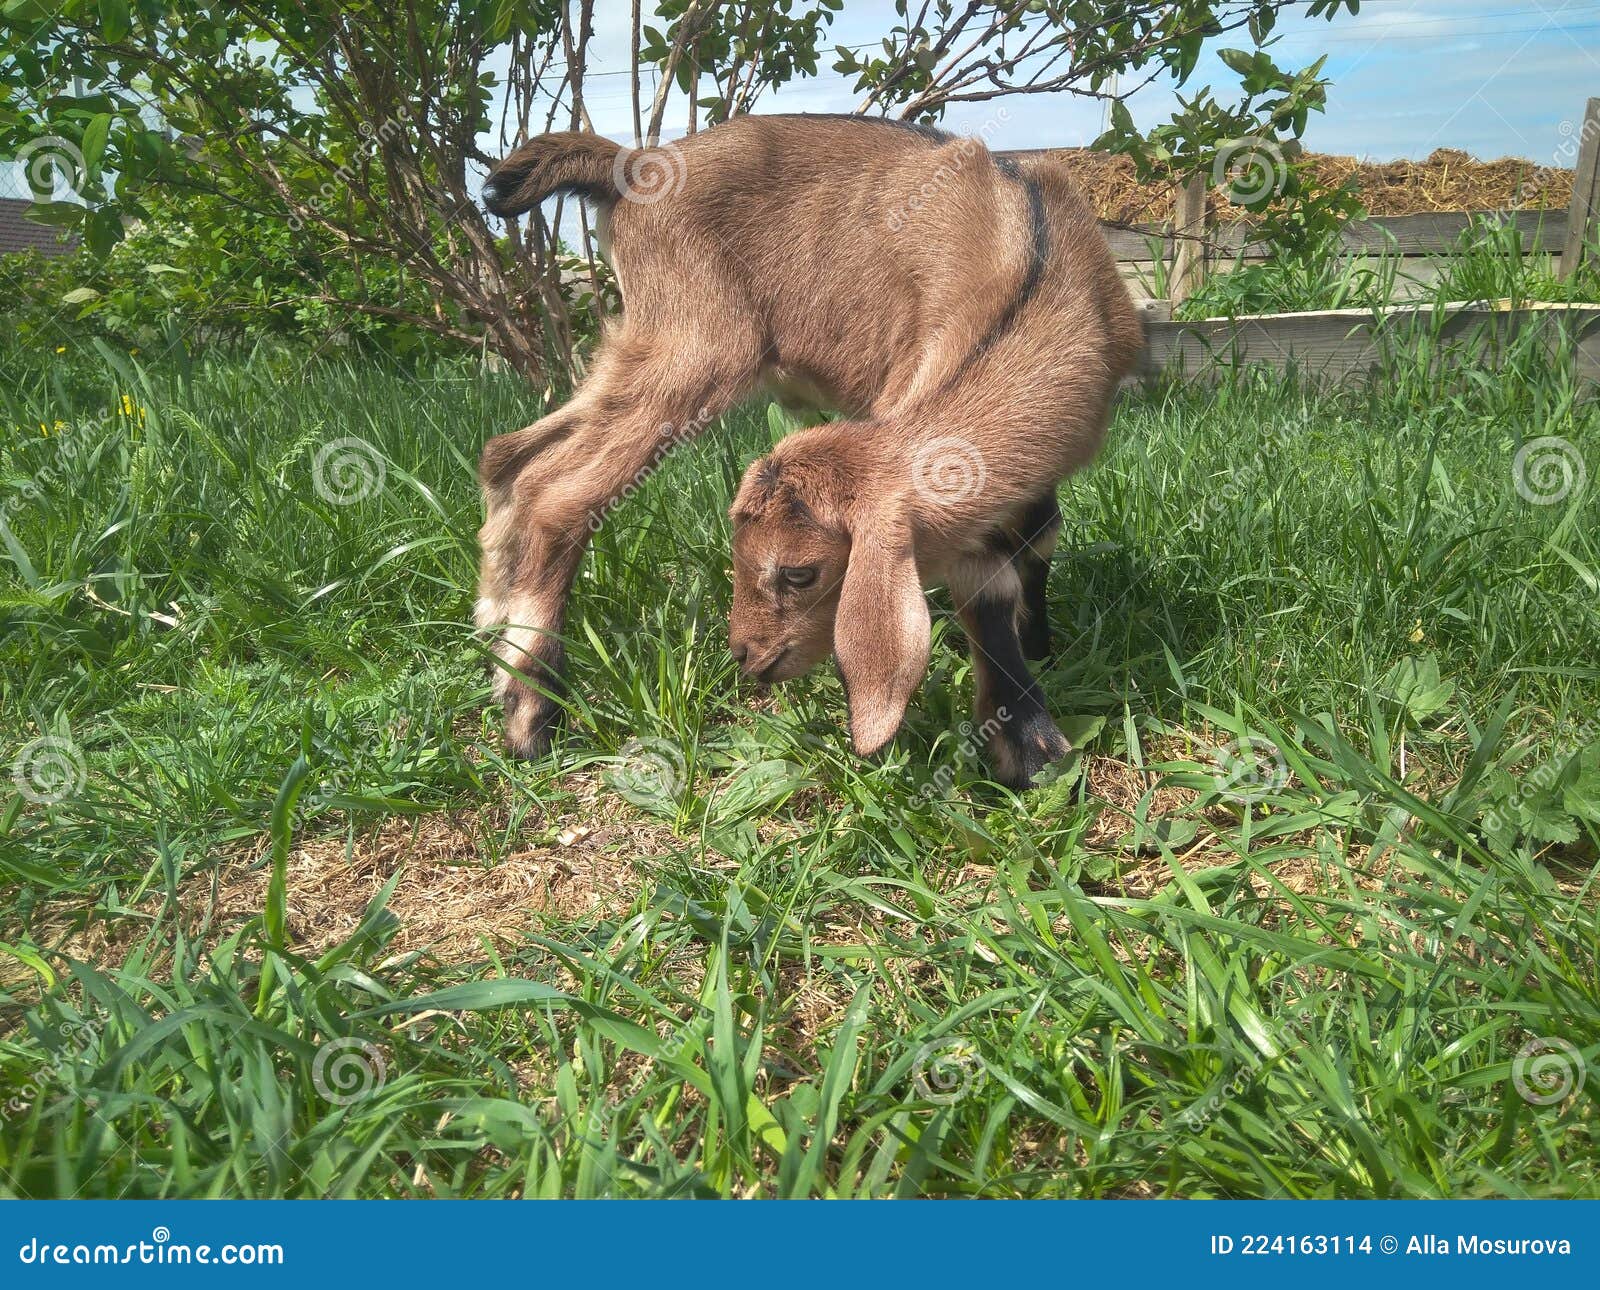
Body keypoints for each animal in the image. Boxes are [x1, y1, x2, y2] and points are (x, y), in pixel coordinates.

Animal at [478, 114, 1144, 786]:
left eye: (799, 572)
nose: (745, 655)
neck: (1038, 279)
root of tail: (633, 166)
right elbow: (986, 578)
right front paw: (1031, 749)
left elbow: (1036, 540)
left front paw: (1038, 663)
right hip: (694, 341)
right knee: (557, 496)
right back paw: (529, 711)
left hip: (644, 347)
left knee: (512, 459)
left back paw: (492, 625)